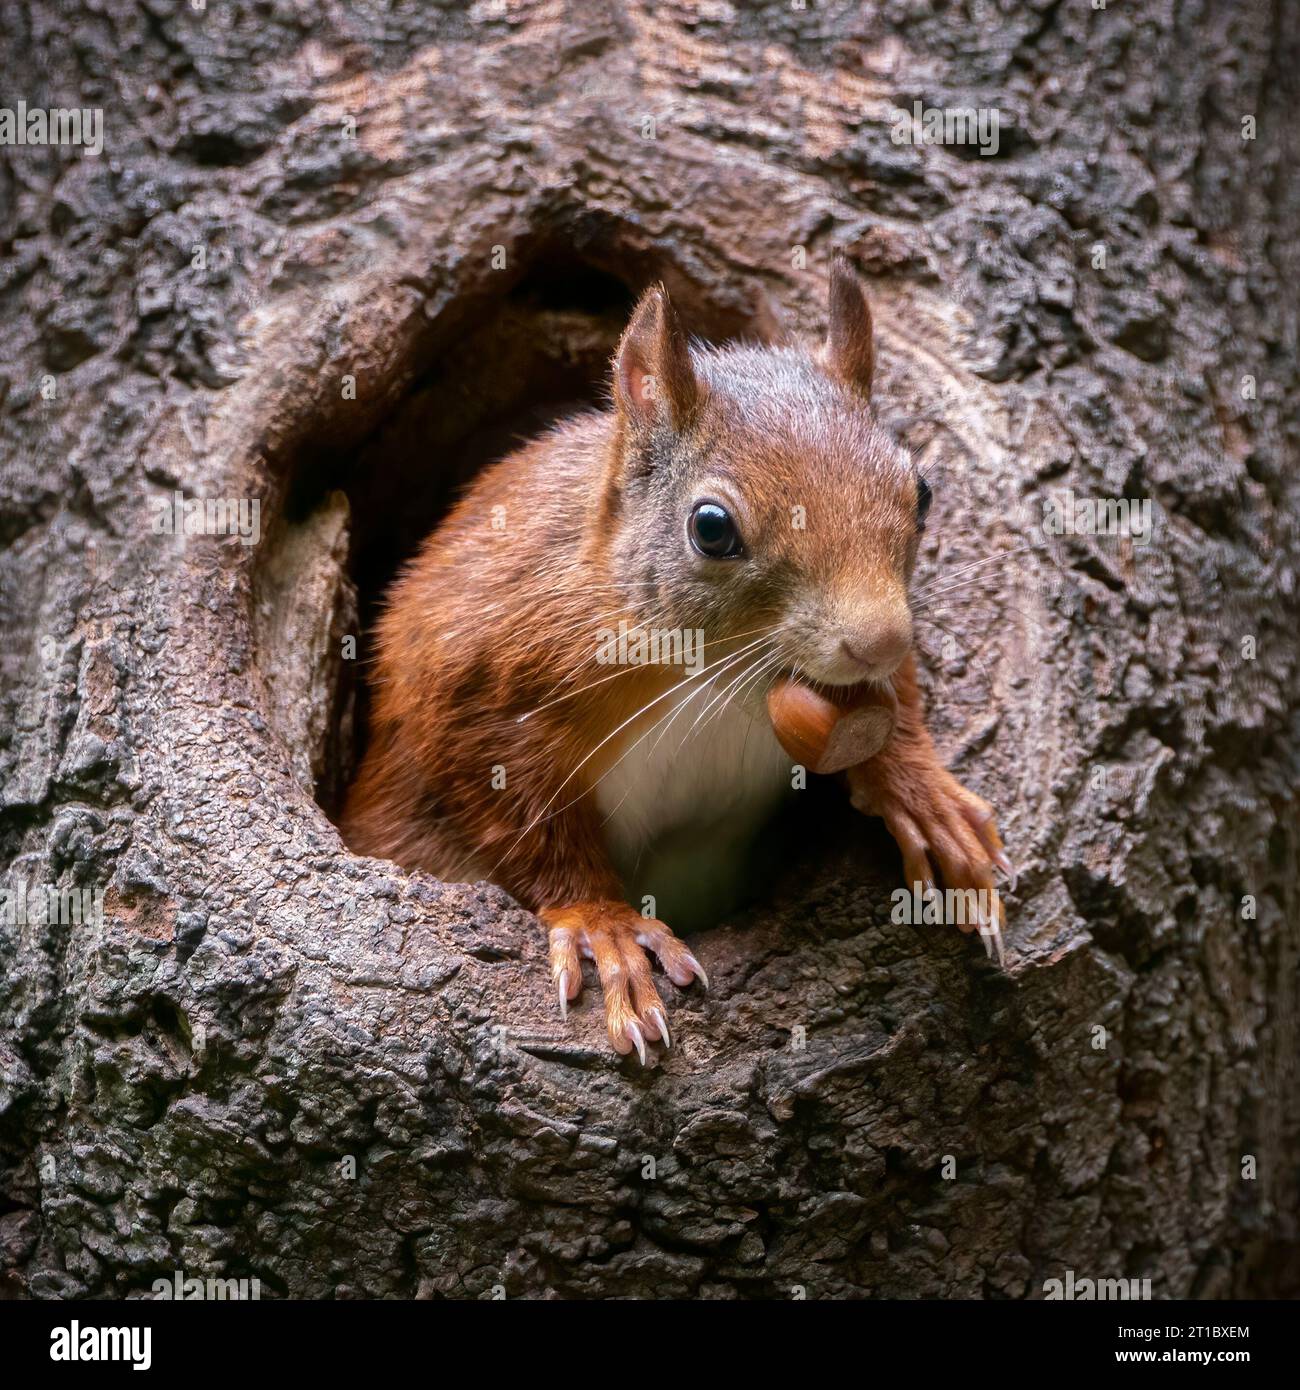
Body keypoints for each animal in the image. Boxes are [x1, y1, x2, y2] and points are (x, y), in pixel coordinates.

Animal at [341, 262, 1011, 1061]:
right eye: (711, 528)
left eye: (922, 491)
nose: (877, 639)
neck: (713, 679)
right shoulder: (478, 671)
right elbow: (516, 811)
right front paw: (603, 924)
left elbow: (888, 704)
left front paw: (920, 792)